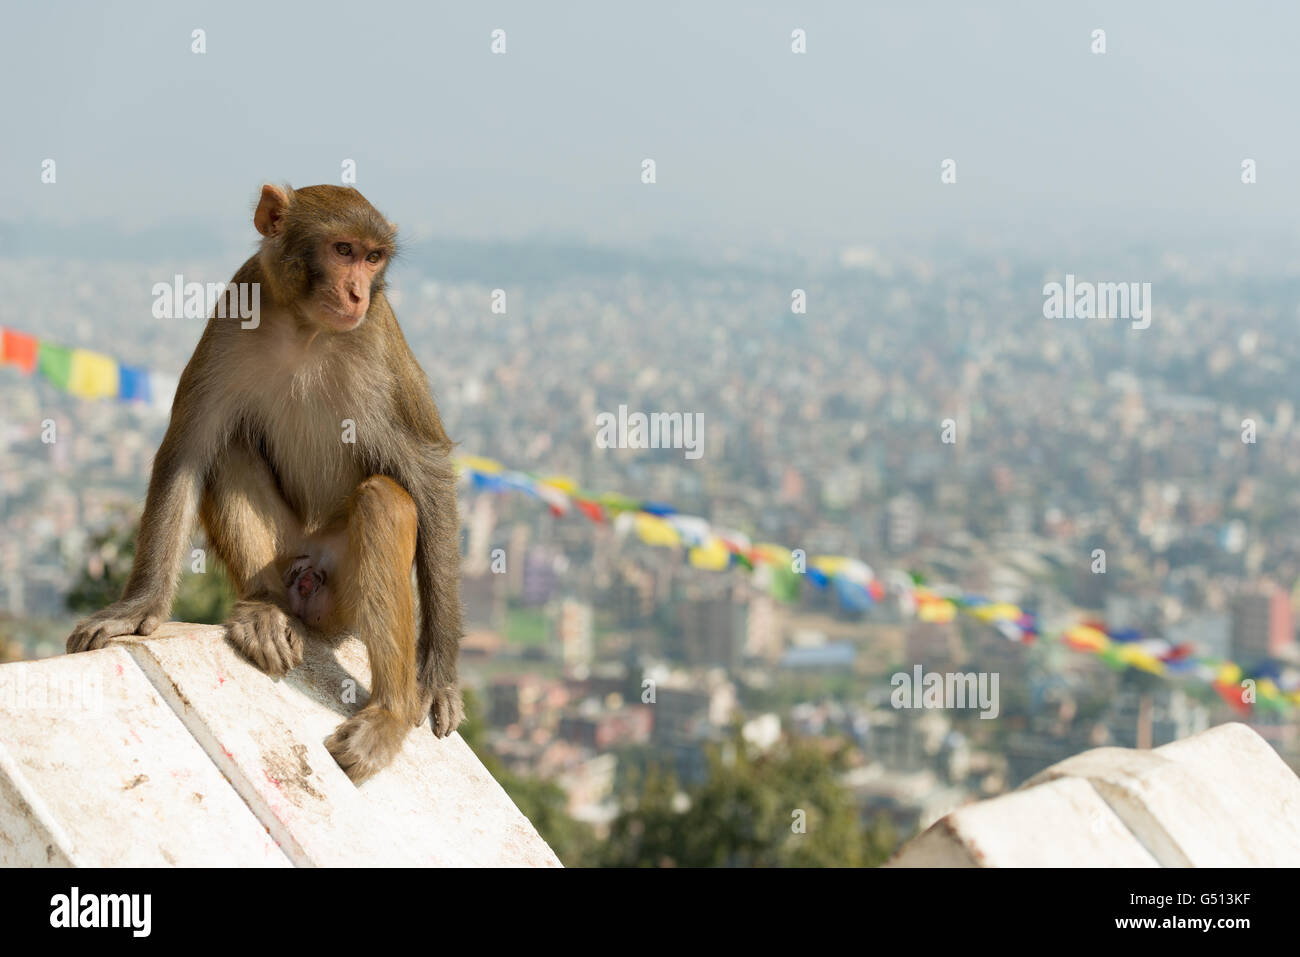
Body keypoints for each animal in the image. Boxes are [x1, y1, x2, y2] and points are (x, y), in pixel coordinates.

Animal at [67, 184, 465, 783]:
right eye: (343, 250)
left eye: (373, 258)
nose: (357, 293)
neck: (305, 328)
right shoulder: (233, 317)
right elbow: (189, 451)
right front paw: (136, 608)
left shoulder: (380, 343)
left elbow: (427, 469)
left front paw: (438, 677)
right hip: (284, 555)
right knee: (228, 449)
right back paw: (264, 611)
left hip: (340, 596)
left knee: (384, 501)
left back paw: (388, 716)